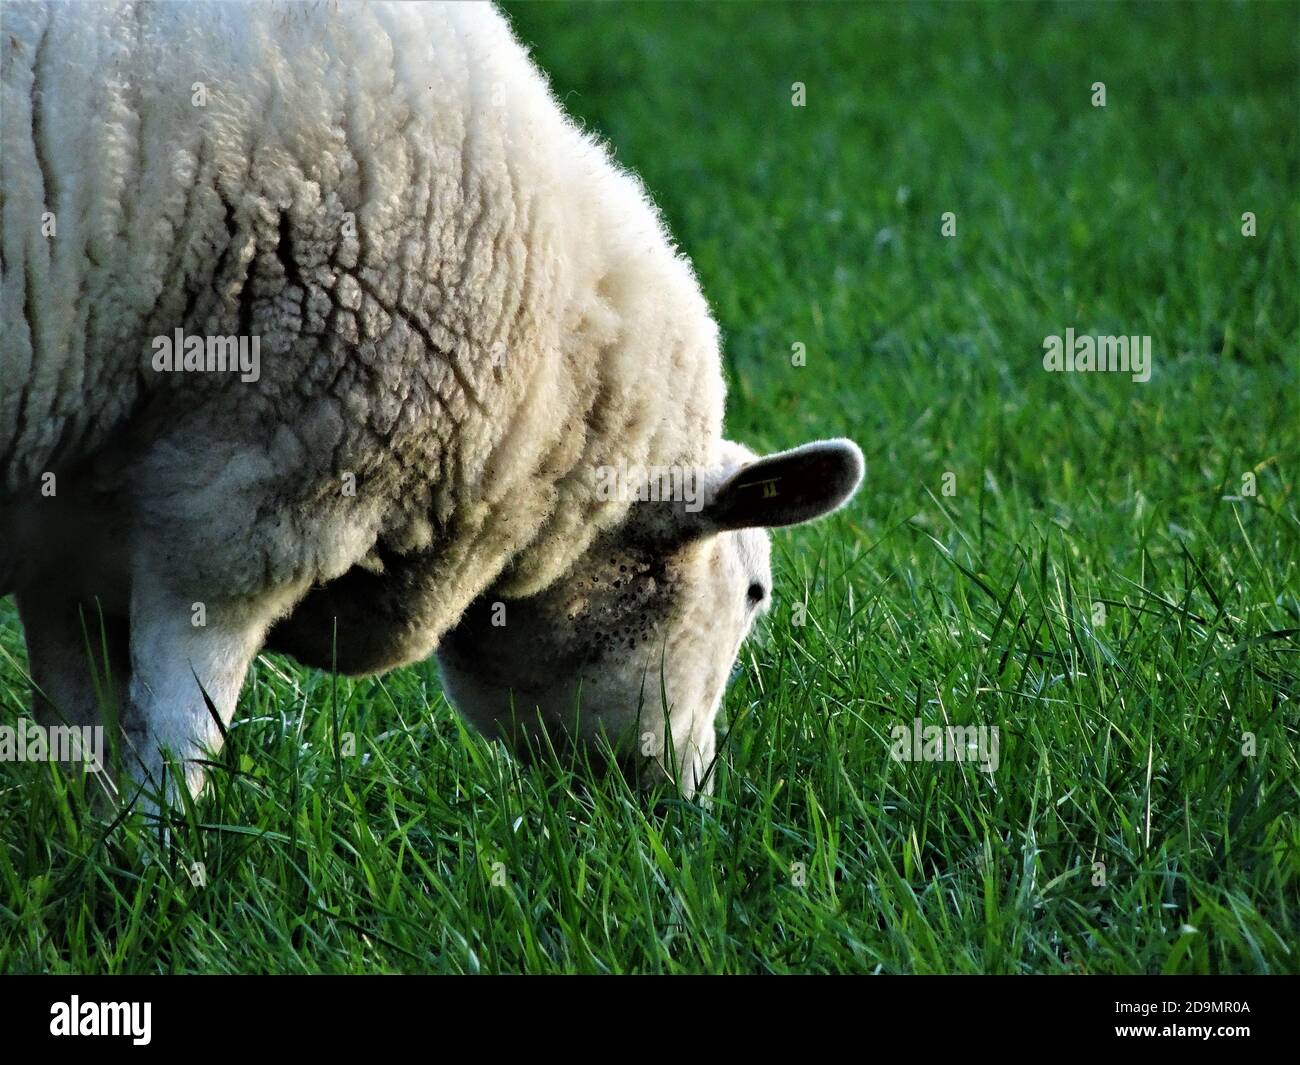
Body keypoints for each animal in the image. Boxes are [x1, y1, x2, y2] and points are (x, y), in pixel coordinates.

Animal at [0, 0, 863, 801]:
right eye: (754, 594)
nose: (694, 801)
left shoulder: (70, 534)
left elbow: (80, 732)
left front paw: (91, 847)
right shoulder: (239, 506)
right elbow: (176, 736)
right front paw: (163, 854)